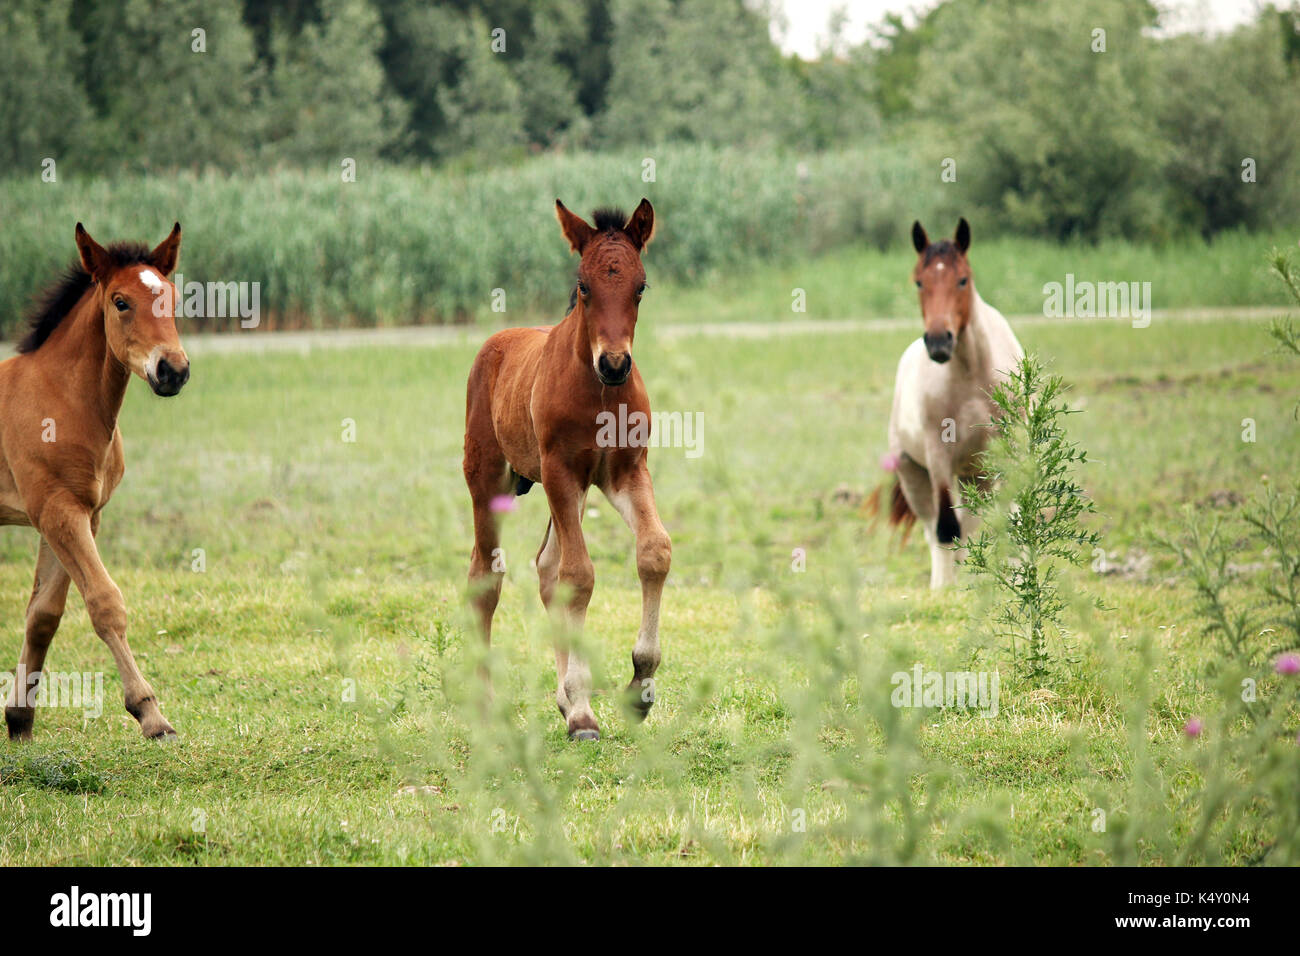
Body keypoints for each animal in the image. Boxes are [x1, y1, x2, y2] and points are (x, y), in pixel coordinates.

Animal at [2, 223, 190, 740]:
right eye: (121, 302)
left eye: (173, 297)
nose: (173, 371)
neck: (61, 398)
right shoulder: (57, 510)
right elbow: (106, 603)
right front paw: (150, 714)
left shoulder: (80, 513)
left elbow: (43, 615)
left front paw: (19, 718)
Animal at [462, 199, 671, 741]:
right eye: (583, 286)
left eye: (641, 287)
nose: (615, 363)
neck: (598, 392)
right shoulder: (560, 470)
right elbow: (579, 574)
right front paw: (582, 711)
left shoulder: (624, 472)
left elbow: (654, 551)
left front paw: (639, 686)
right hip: (489, 480)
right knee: (486, 573)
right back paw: (487, 705)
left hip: (570, 494)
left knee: (545, 565)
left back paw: (560, 699)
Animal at [881, 218, 1023, 588]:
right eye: (920, 281)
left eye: (962, 280)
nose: (938, 341)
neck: (971, 375)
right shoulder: (938, 457)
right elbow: (946, 529)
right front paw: (947, 590)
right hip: (913, 474)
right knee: (935, 529)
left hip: (977, 475)